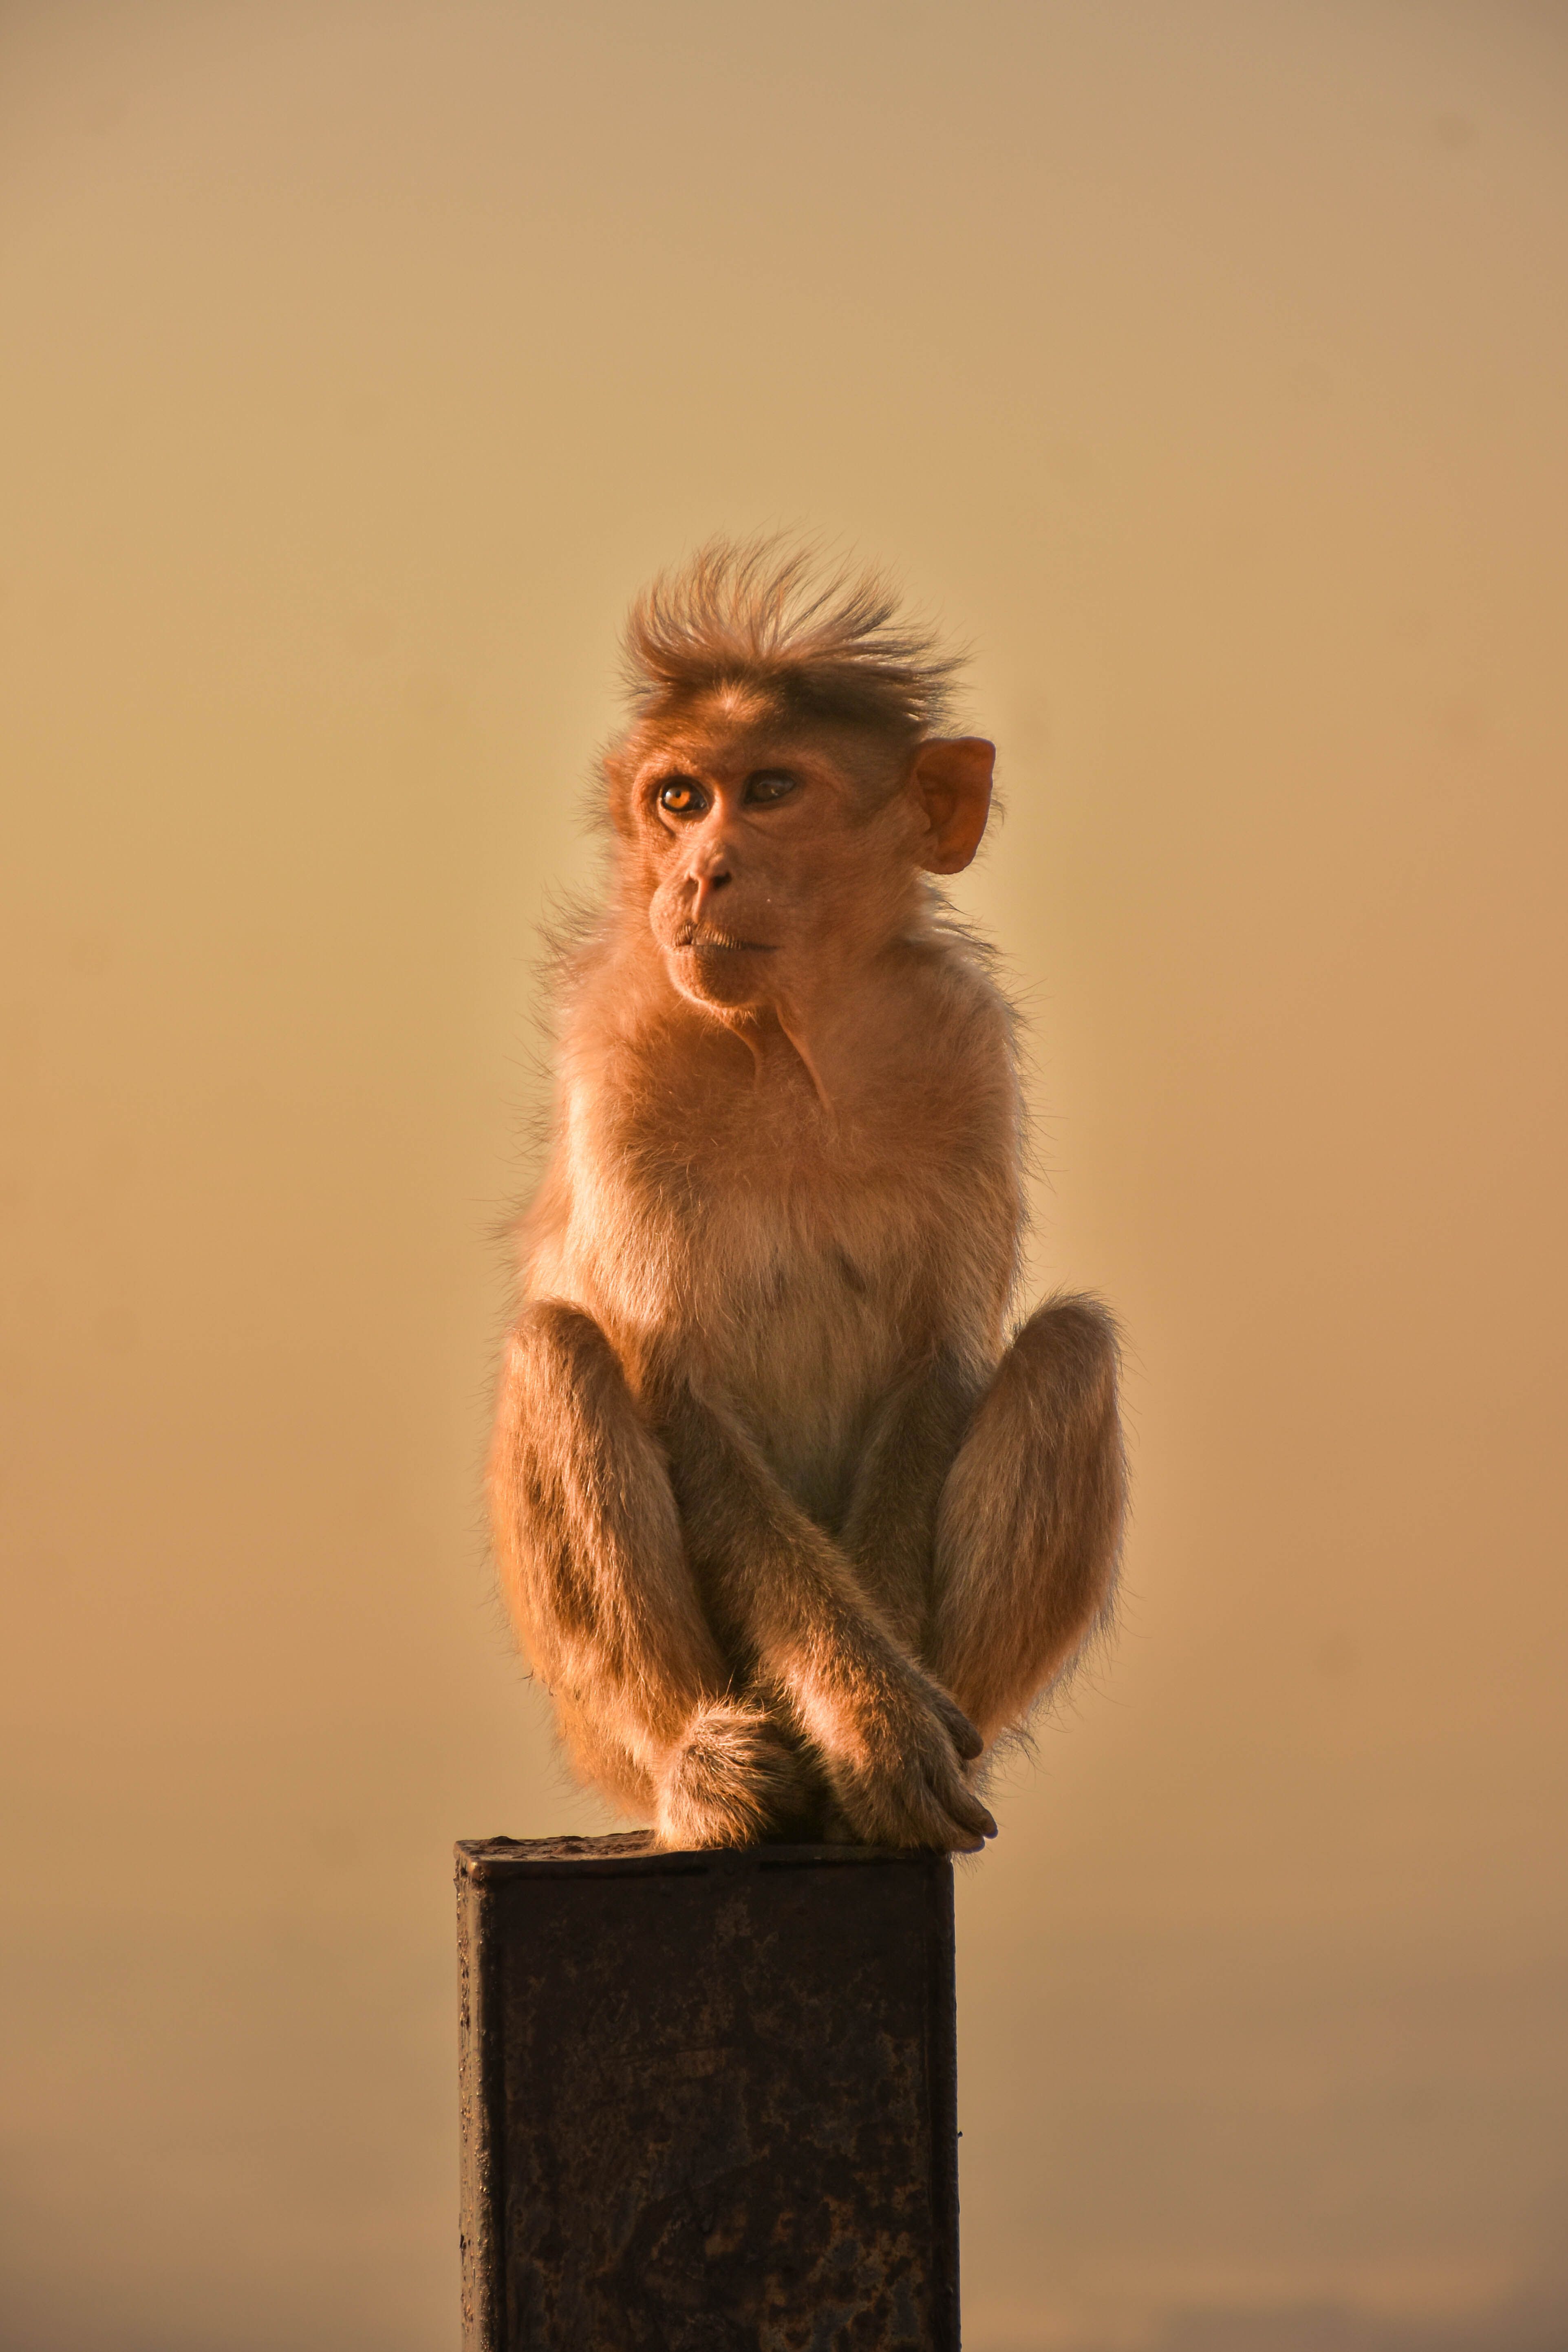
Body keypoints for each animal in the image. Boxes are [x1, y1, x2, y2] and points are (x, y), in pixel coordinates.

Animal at [488, 540, 1124, 1854]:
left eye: (771, 788)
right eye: (680, 799)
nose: (699, 874)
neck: (792, 1050)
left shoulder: (962, 1048)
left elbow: (932, 1372)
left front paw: (884, 1722)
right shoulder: (621, 1062)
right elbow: (678, 1391)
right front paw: (867, 1711)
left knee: (1071, 1349)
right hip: (600, 1733)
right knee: (557, 1350)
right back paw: (705, 1767)